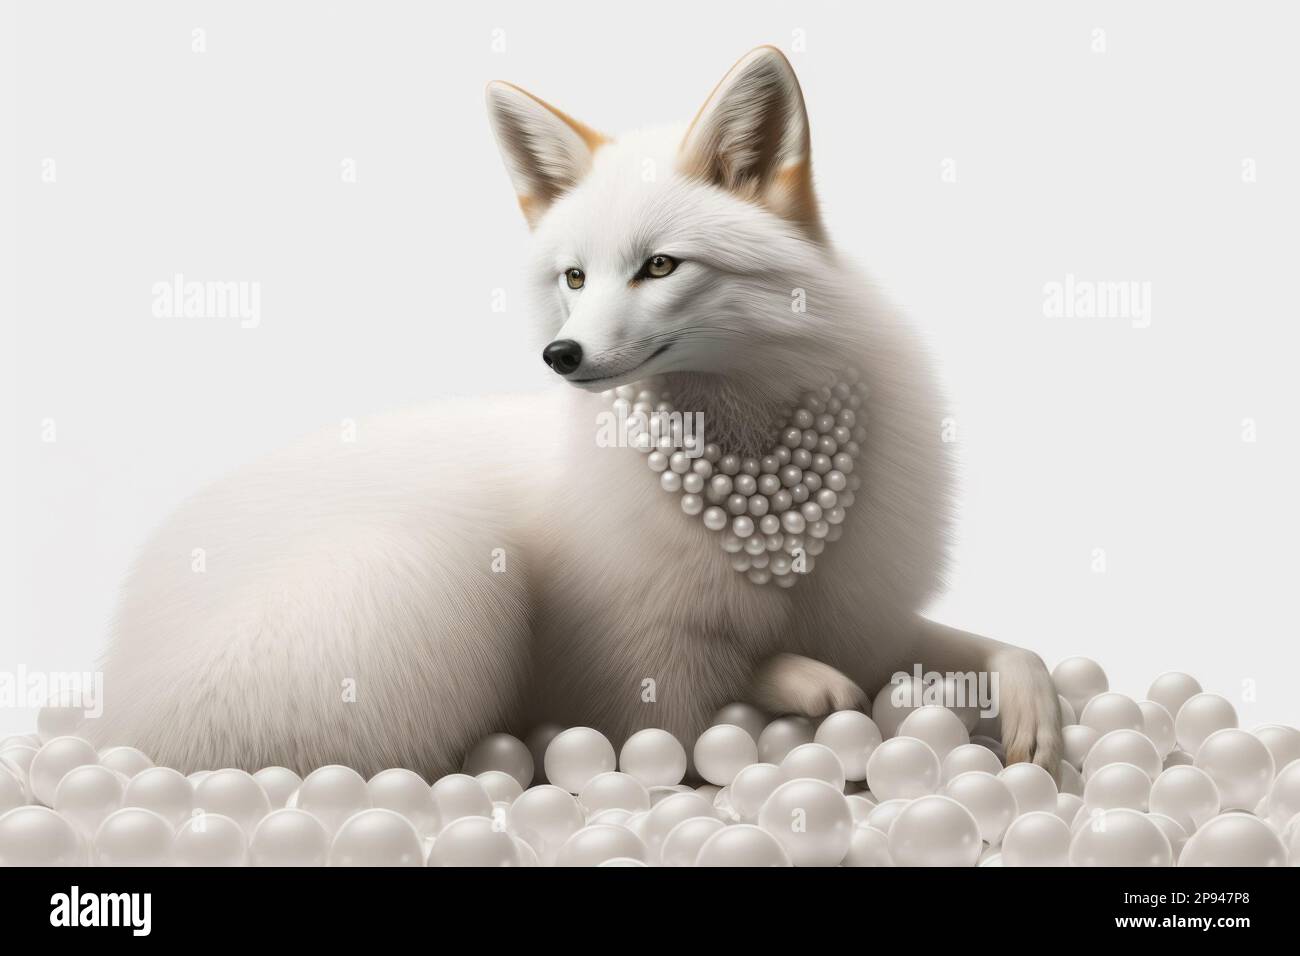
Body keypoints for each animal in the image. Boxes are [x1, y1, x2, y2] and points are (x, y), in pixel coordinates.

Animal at [92, 46, 1063, 780]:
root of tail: (115, 700)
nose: (560, 357)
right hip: (437, 571)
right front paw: (793, 683)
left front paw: (1033, 716)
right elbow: (711, 725)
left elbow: (1012, 651)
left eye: (660, 267)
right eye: (574, 277)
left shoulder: (865, 617)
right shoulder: (647, 688)